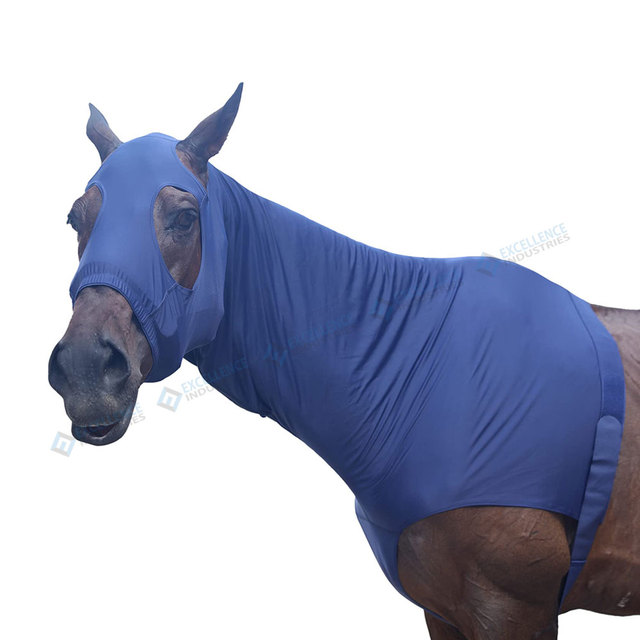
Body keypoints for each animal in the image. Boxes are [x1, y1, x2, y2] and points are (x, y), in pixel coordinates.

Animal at [48, 84, 639, 639]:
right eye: (76, 218)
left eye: (186, 217)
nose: (85, 370)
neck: (435, 376)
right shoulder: (442, 611)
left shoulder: (514, 611)